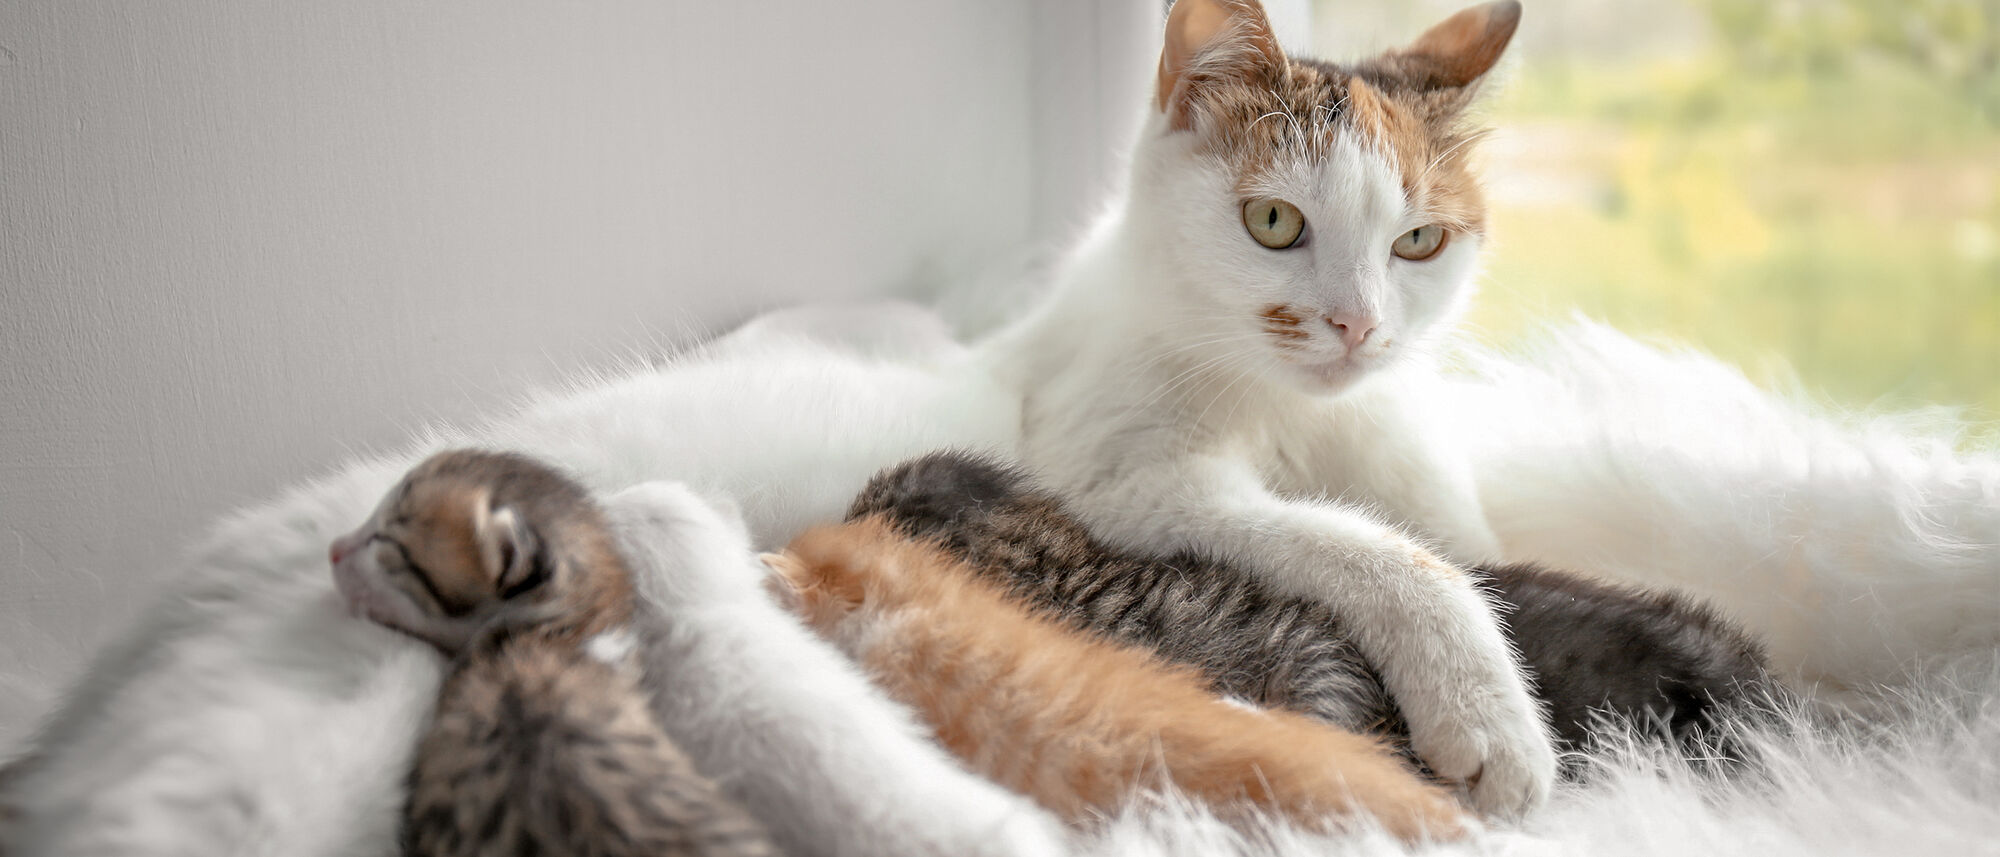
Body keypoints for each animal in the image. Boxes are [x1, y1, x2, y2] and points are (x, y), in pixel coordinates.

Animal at [984, 0, 1560, 816]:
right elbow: (1365, 547)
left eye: (1419, 240)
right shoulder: (1113, 470)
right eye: (1274, 222)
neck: (1295, 408)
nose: (1358, 324)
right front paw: (1488, 710)